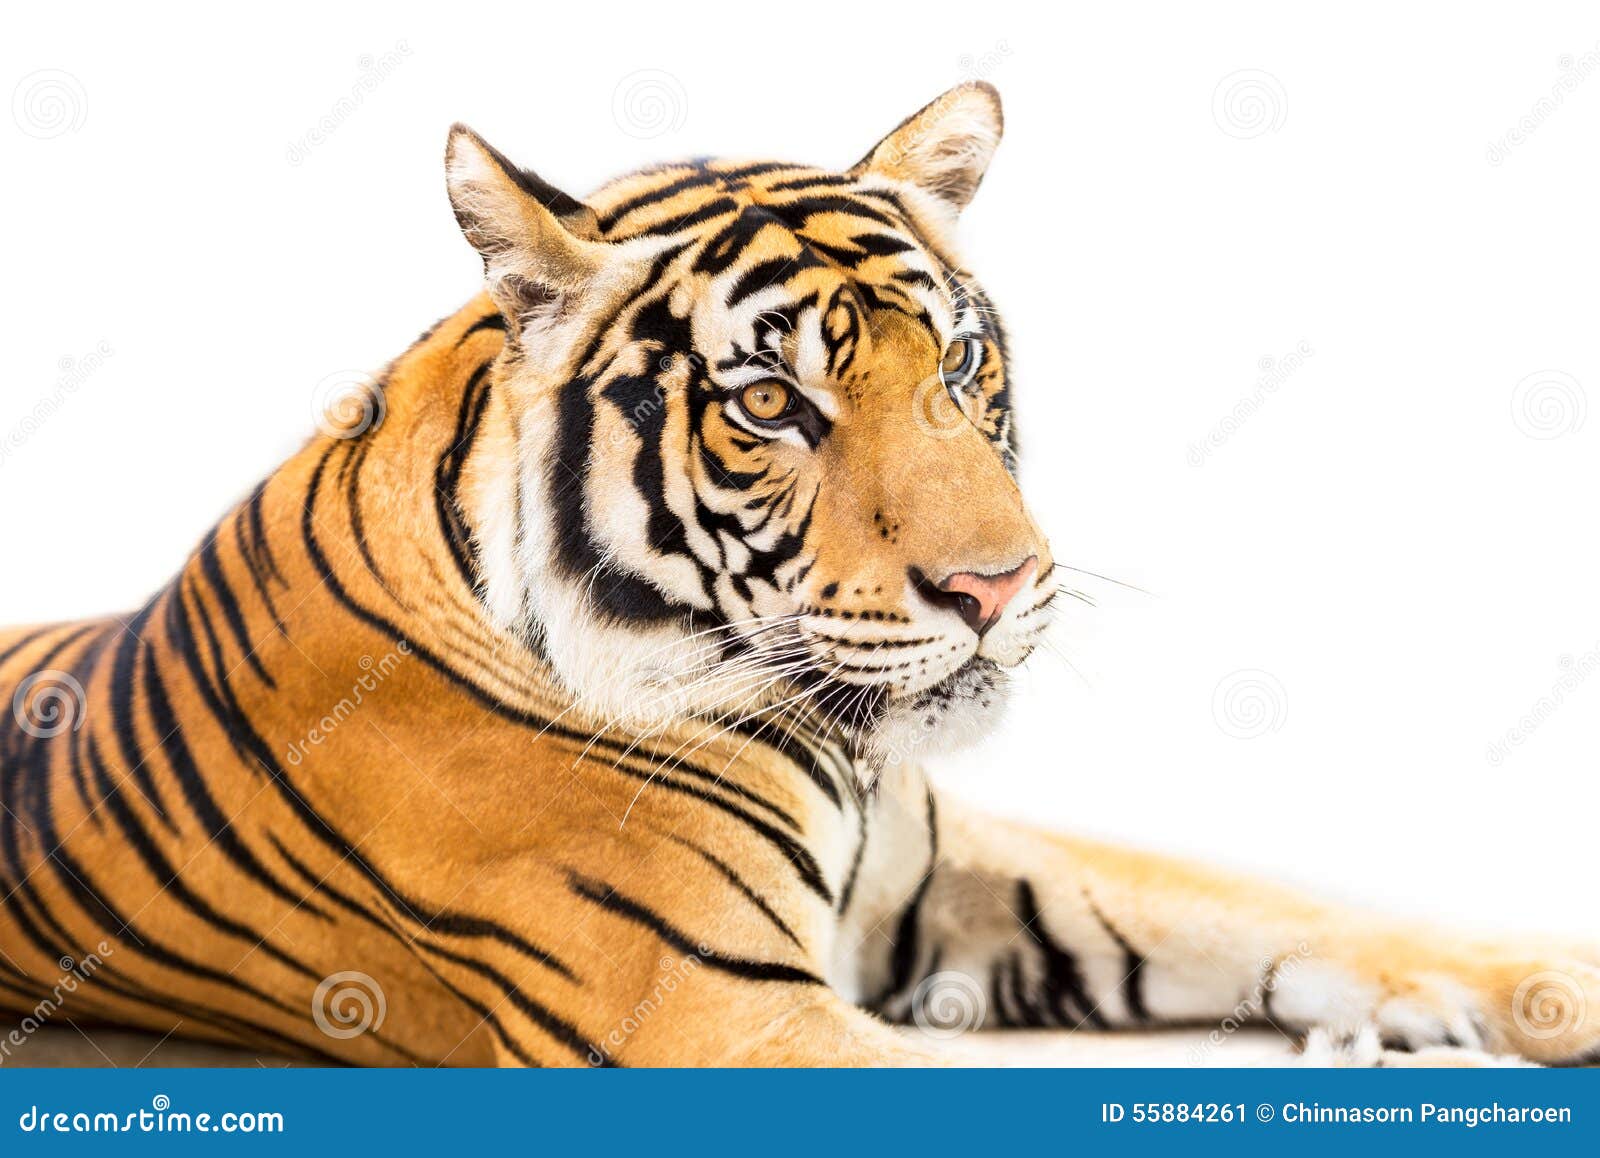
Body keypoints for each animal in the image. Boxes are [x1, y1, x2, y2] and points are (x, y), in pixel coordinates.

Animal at [1, 82, 1596, 1068]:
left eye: (958, 361)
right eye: (771, 405)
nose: (997, 589)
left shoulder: (960, 874)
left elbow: (1277, 901)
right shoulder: (714, 1014)